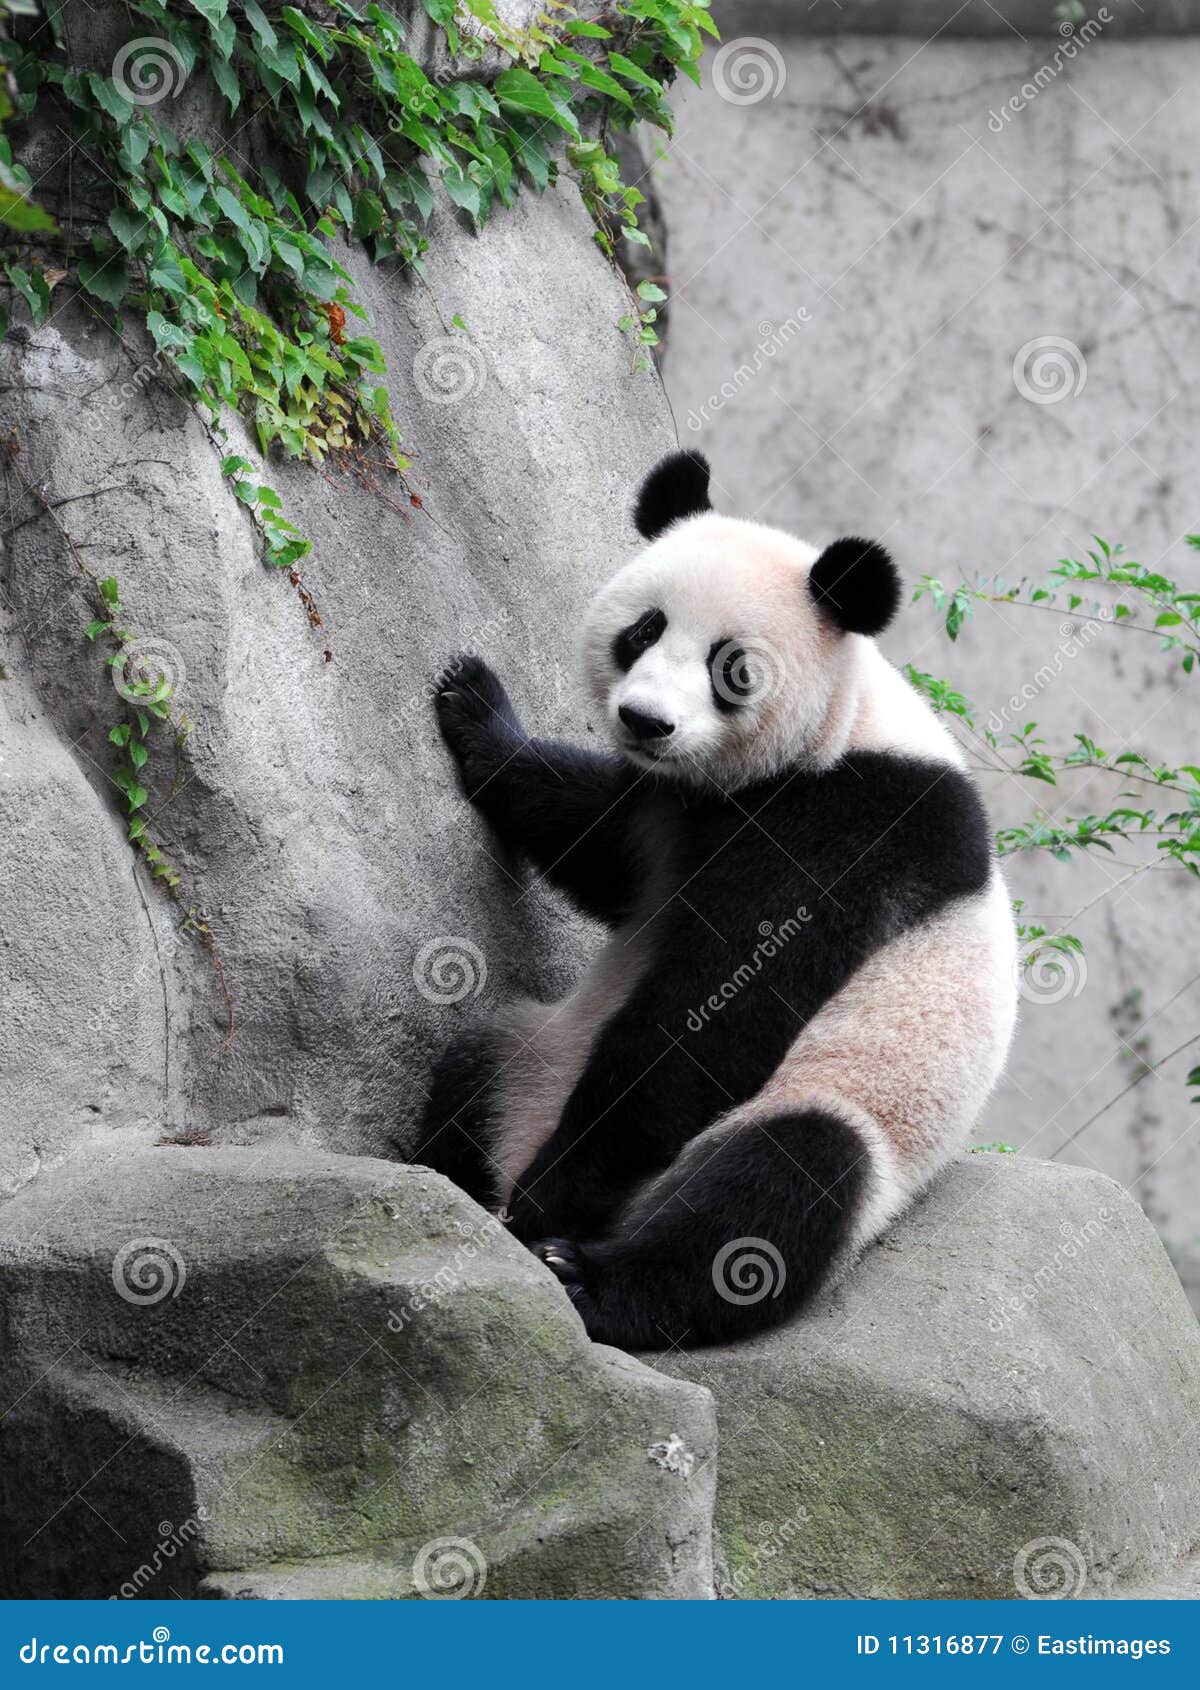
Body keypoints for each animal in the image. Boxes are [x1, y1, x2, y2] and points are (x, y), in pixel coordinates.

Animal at [414, 450, 1017, 1350]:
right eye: (643, 630)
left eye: (731, 667)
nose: (645, 720)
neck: (836, 726)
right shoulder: (665, 808)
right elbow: (597, 841)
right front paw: (476, 708)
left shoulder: (848, 824)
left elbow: (715, 1012)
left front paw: (554, 1192)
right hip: (535, 1055)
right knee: (471, 1065)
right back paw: (452, 1183)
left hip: (847, 1107)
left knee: (776, 1189)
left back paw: (584, 1273)